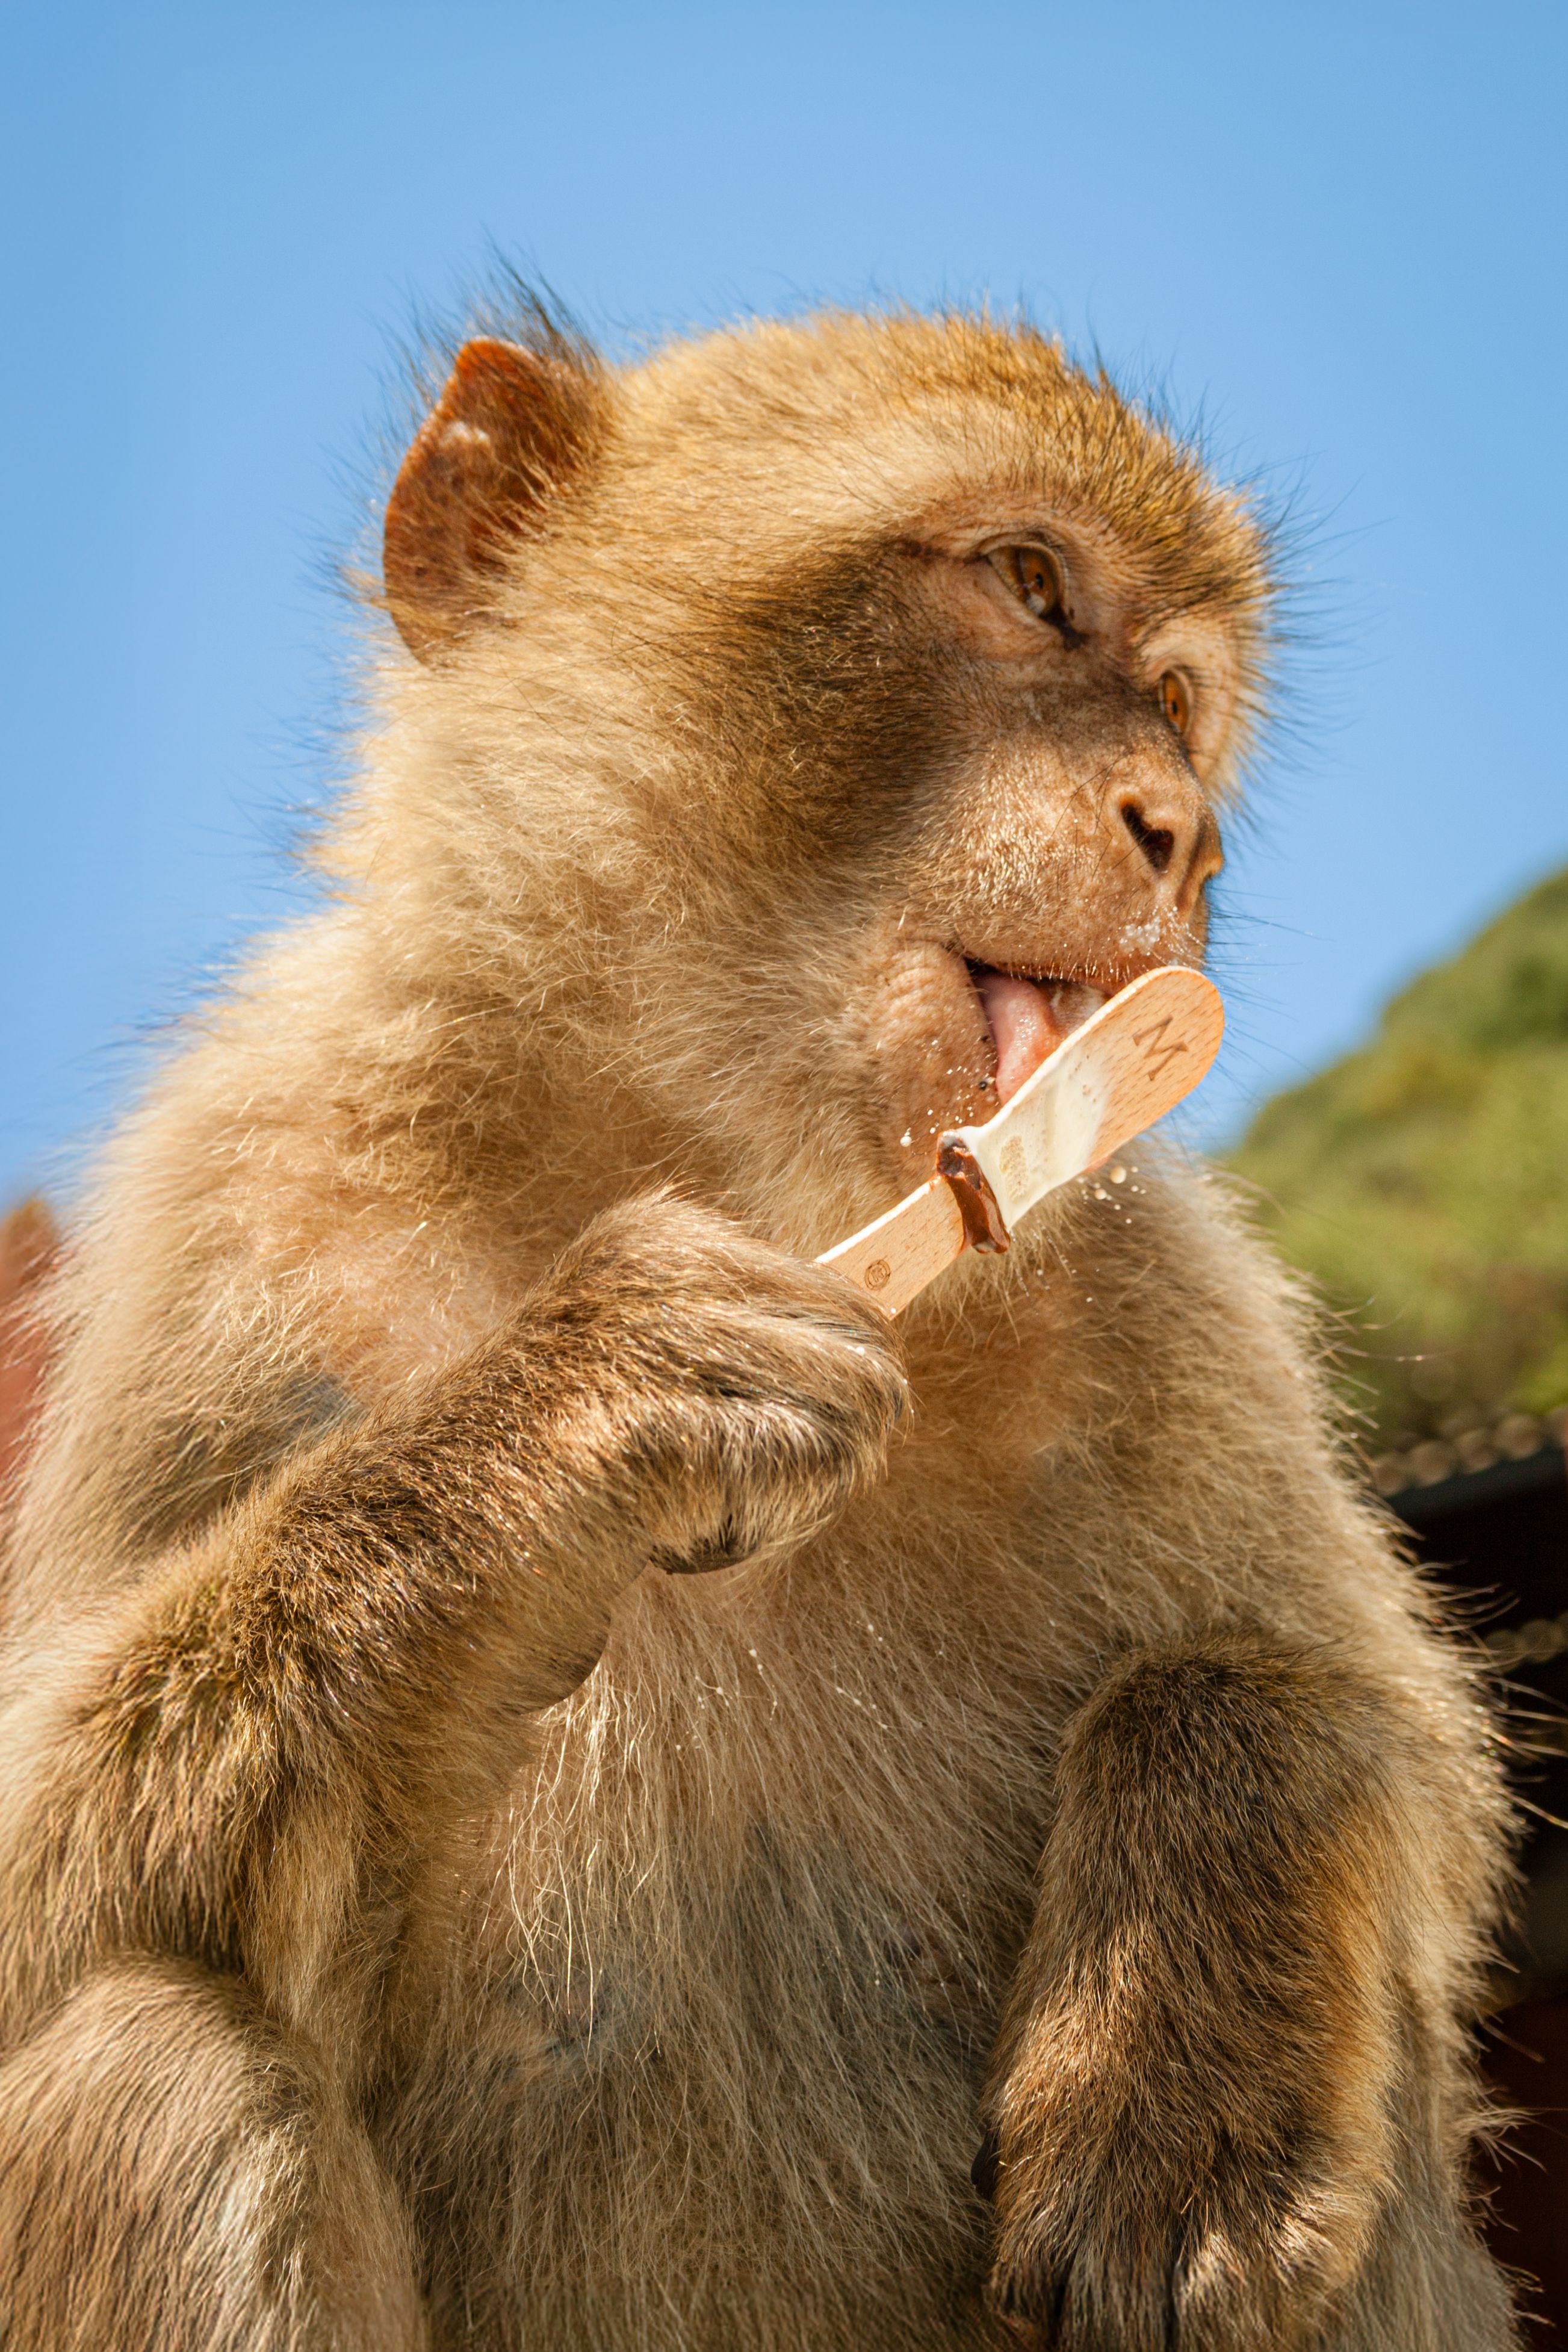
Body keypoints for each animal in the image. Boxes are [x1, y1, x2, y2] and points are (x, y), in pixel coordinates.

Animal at [0, 297, 1519, 2352]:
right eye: (1030, 586)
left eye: (1176, 698)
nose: (1180, 835)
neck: (718, 1138)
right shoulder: (231, 1200)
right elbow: (32, 1888)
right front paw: (572, 1413)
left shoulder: (1166, 1298)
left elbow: (1415, 1803)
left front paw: (1192, 1966)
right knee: (149, 2057)